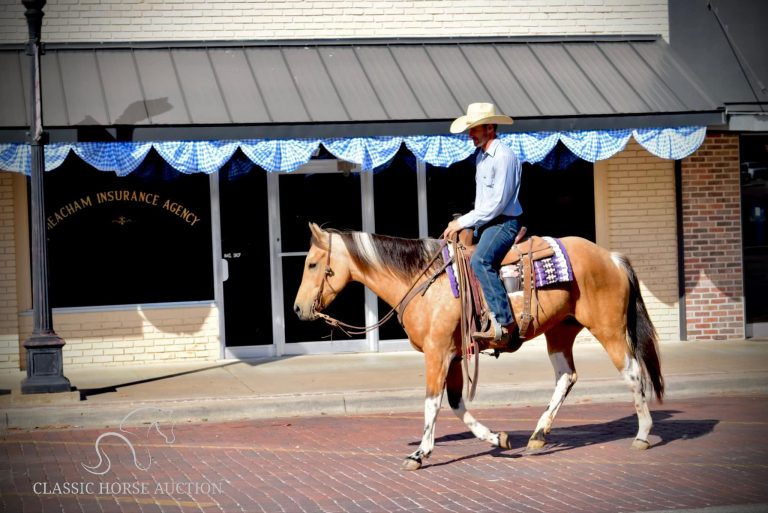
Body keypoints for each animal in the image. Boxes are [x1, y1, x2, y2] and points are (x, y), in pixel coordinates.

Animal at [293, 223, 664, 471]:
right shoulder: (455, 356)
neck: (424, 281)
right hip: (560, 332)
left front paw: (419, 453)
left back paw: (643, 434)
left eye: (312, 264)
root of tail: (611, 258)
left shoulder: (437, 353)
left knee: (633, 373)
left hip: (608, 328)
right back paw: (537, 436)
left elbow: (432, 402)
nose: (298, 309)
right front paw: (497, 438)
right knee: (566, 377)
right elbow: (456, 403)